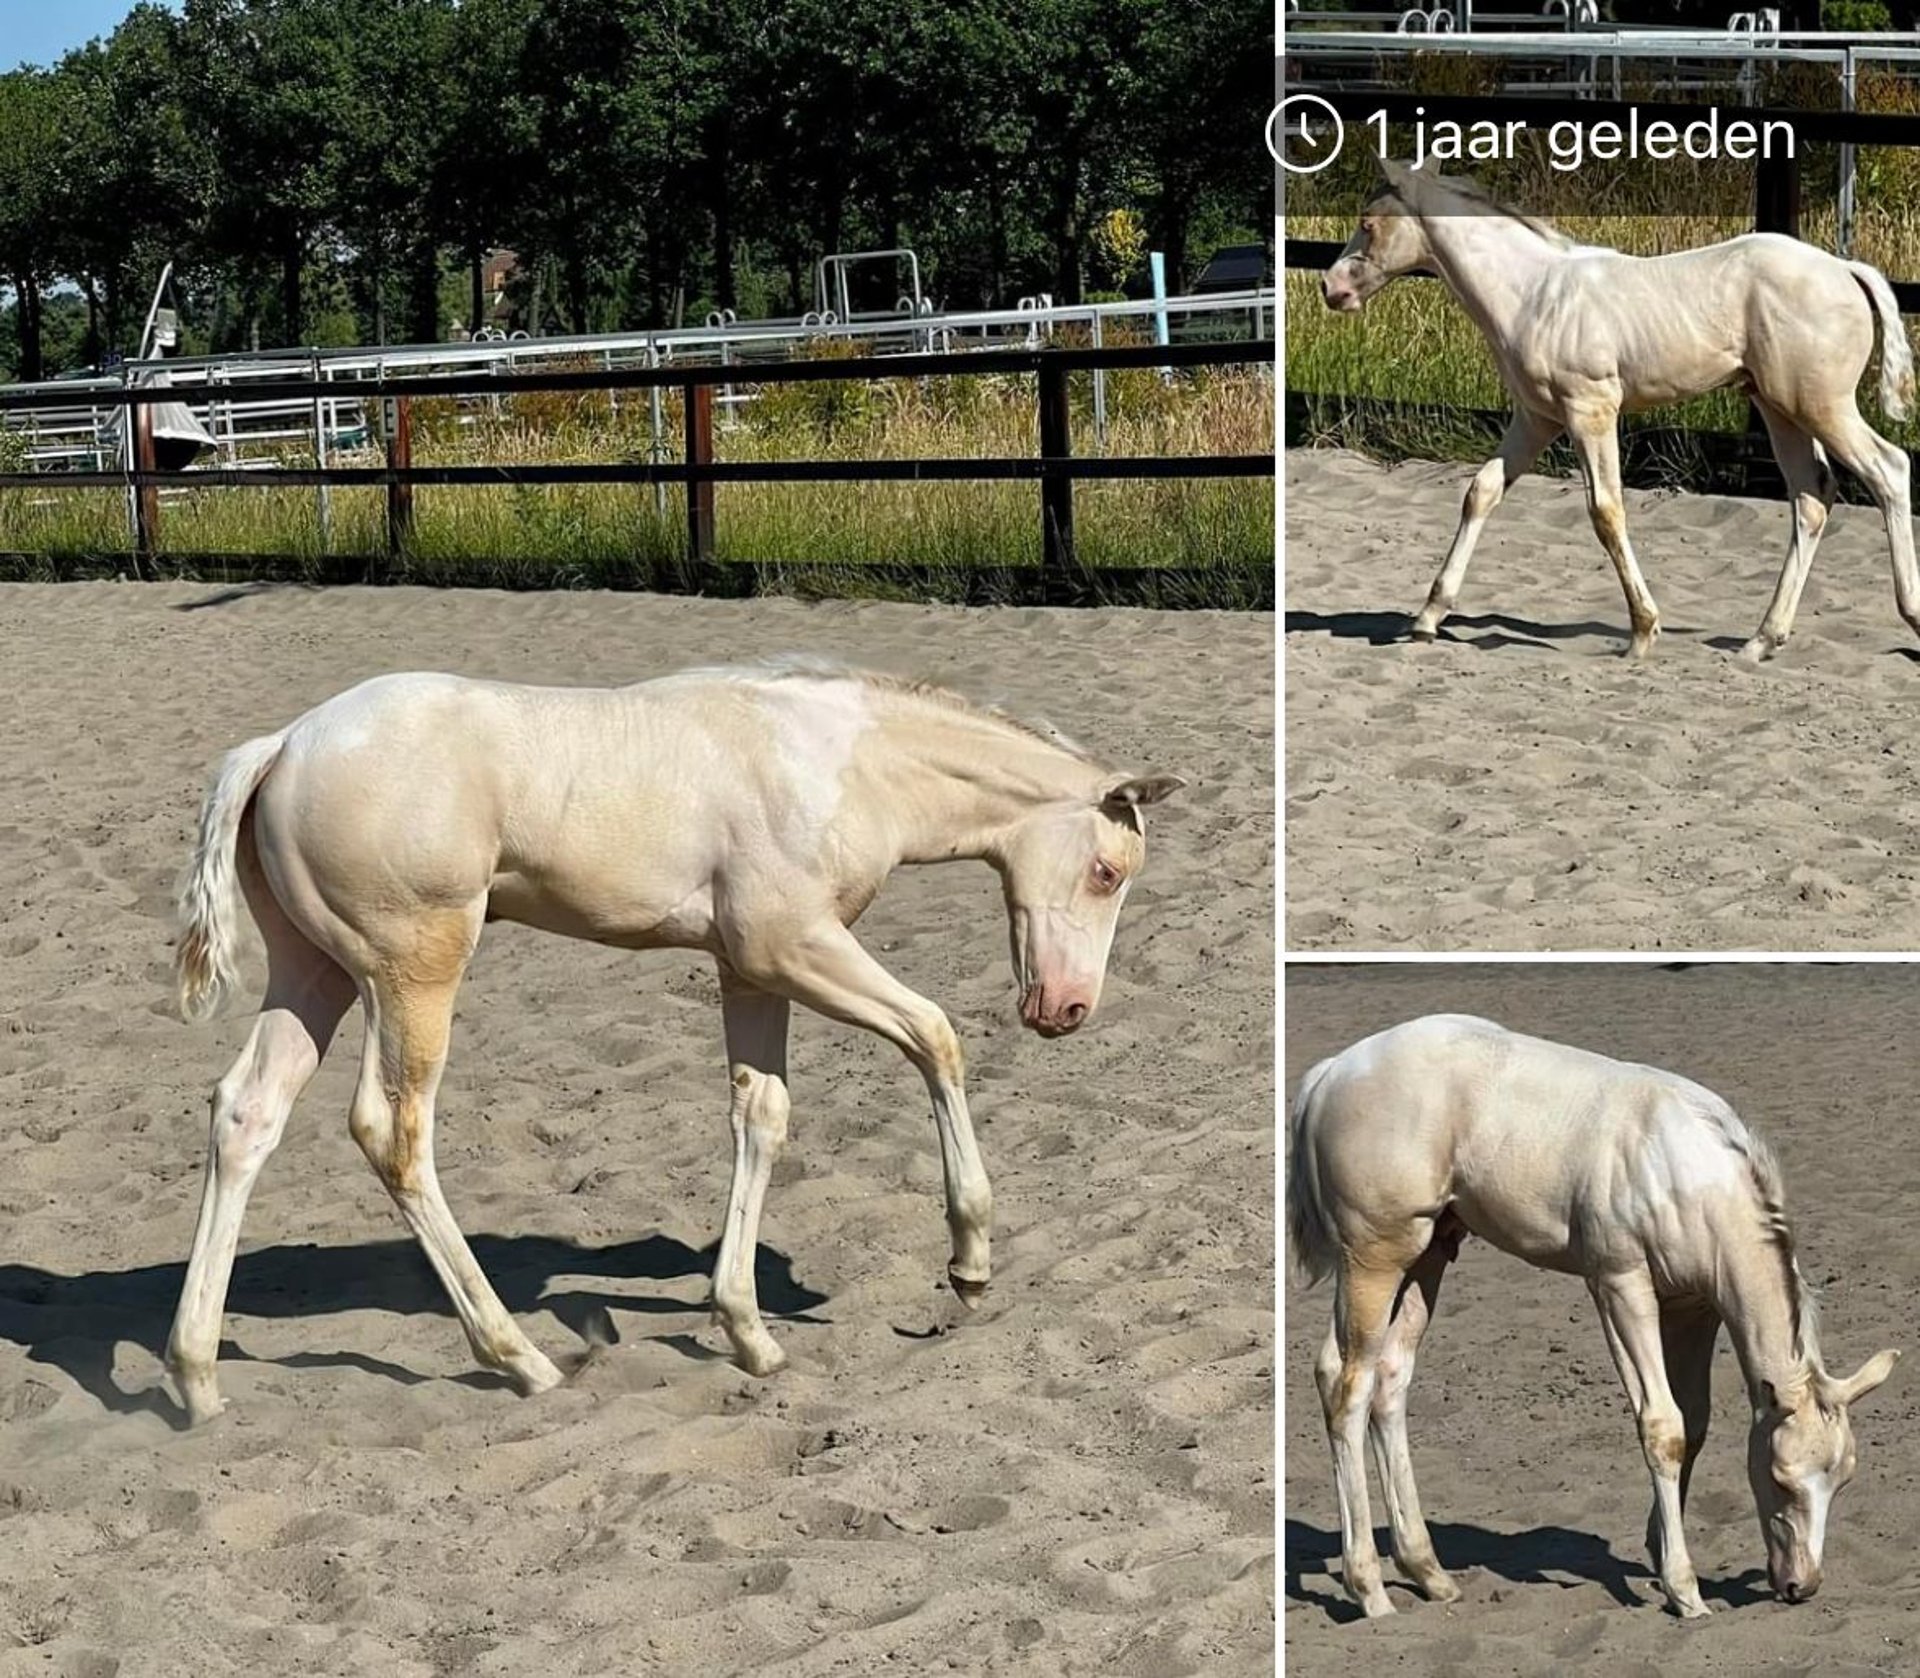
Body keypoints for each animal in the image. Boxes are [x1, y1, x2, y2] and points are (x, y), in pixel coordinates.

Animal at [164, 663, 1184, 1425]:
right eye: (1107, 871)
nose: (1066, 1009)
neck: (840, 763)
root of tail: (281, 746)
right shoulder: (794, 946)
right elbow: (935, 1036)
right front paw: (969, 1263)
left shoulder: (750, 968)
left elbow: (762, 1113)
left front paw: (750, 1334)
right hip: (414, 968)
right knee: (394, 1133)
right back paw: (521, 1358)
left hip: (318, 972)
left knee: (246, 1112)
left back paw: (198, 1379)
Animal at [1288, 1013, 1898, 1620]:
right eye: (1780, 1478)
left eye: (1842, 1479)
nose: (1801, 1586)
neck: (1683, 1169)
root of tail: (1331, 1074)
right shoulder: (1619, 1284)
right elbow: (1662, 1426)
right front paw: (1684, 1590)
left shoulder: (1694, 1308)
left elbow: (1694, 1422)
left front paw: (1658, 1553)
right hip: (1376, 1258)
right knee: (1348, 1387)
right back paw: (1369, 1589)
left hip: (1429, 1254)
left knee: (1386, 1381)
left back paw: (1430, 1574)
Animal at [1322, 159, 1919, 662]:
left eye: (1368, 222)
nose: (1331, 287)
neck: (1531, 293)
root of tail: (1844, 269)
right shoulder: (1536, 419)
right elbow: (1482, 491)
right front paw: (1426, 617)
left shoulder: (1591, 410)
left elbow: (1606, 511)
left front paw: (1642, 631)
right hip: (1778, 407)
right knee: (1812, 496)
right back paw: (1761, 639)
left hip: (1819, 404)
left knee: (1888, 469)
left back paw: (1908, 617)